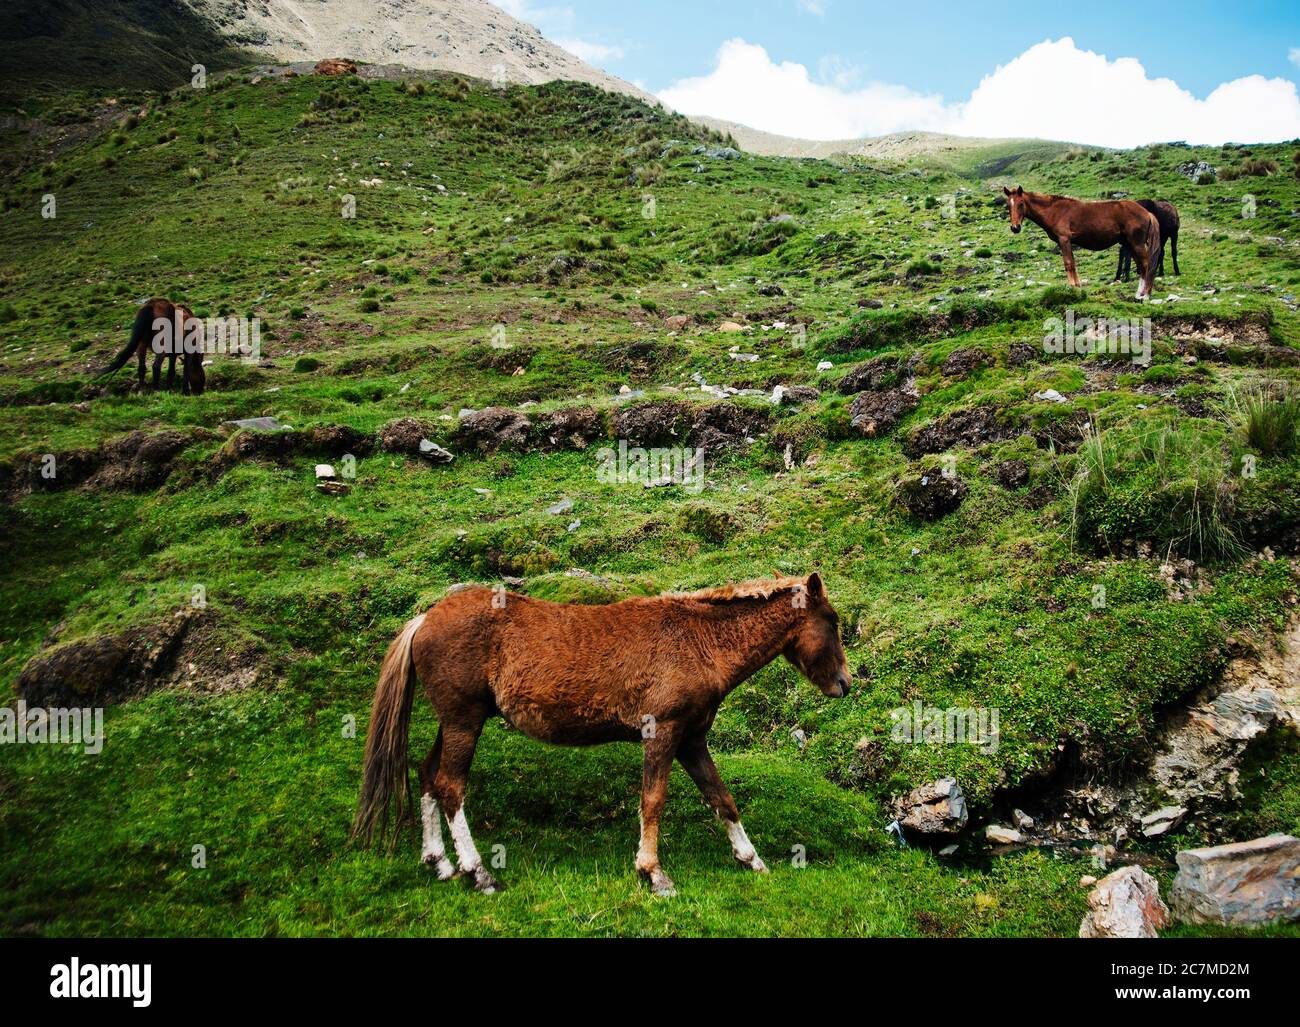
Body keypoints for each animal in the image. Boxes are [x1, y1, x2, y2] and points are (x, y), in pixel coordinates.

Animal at [353, 573, 852, 896]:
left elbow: (721, 798)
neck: (699, 643)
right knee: (451, 787)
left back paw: (439, 863)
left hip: (453, 722)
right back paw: (479, 874)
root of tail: (424, 619)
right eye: (832, 621)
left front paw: (752, 860)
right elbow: (653, 801)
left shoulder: (691, 741)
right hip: (463, 721)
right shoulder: (662, 734)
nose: (845, 684)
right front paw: (653, 874)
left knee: (427, 776)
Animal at [1002, 186, 1162, 300]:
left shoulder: (1064, 240)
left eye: (1021, 203)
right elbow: (1073, 263)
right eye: (1008, 205)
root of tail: (1147, 213)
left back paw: (1145, 295)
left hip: (1137, 244)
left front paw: (1072, 288)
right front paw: (1078, 287)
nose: (1015, 228)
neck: (1054, 211)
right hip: (1130, 244)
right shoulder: (1067, 242)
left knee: (1146, 265)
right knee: (1141, 267)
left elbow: (1068, 264)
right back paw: (1139, 294)